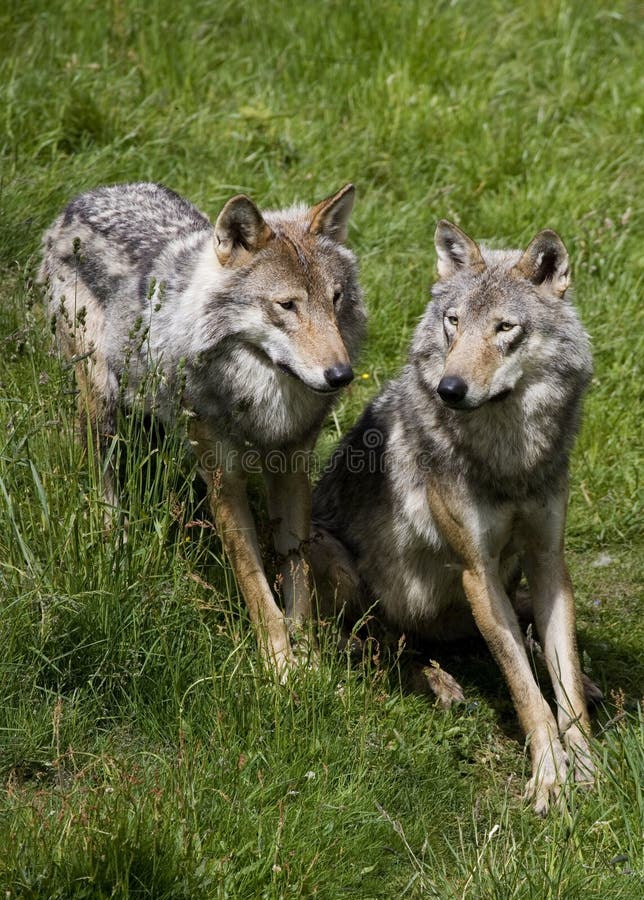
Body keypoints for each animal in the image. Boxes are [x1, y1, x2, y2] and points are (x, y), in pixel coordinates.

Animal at [39, 181, 366, 677]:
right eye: (287, 306)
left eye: (336, 299)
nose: (341, 376)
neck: (265, 401)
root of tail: (88, 196)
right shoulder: (223, 477)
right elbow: (255, 583)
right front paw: (279, 666)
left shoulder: (292, 469)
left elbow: (298, 572)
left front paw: (307, 659)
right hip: (101, 400)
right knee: (105, 478)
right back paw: (114, 542)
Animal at [312, 219, 594, 814]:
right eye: (454, 322)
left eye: (505, 327)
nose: (450, 388)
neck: (510, 457)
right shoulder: (476, 572)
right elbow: (525, 691)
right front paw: (549, 779)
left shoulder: (547, 560)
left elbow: (564, 682)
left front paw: (586, 767)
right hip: (338, 563)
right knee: (374, 645)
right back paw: (436, 680)